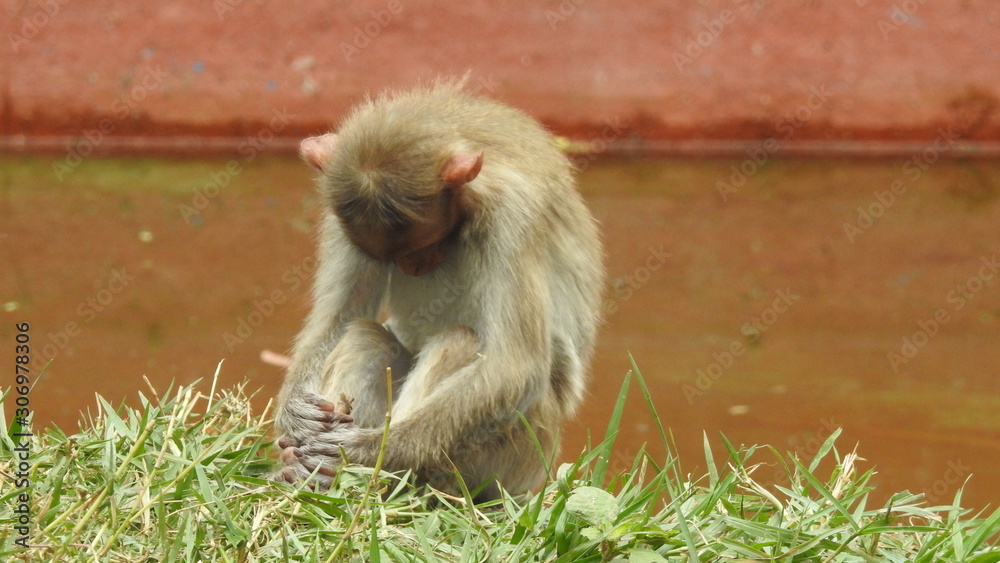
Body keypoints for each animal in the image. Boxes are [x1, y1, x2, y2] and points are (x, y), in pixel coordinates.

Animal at [271, 80, 604, 501]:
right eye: (396, 257)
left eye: (422, 246)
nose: (414, 267)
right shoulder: (340, 214)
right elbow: (337, 320)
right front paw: (295, 412)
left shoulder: (512, 212)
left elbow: (515, 367)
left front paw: (365, 451)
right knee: (364, 337)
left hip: (523, 451)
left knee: (461, 342)